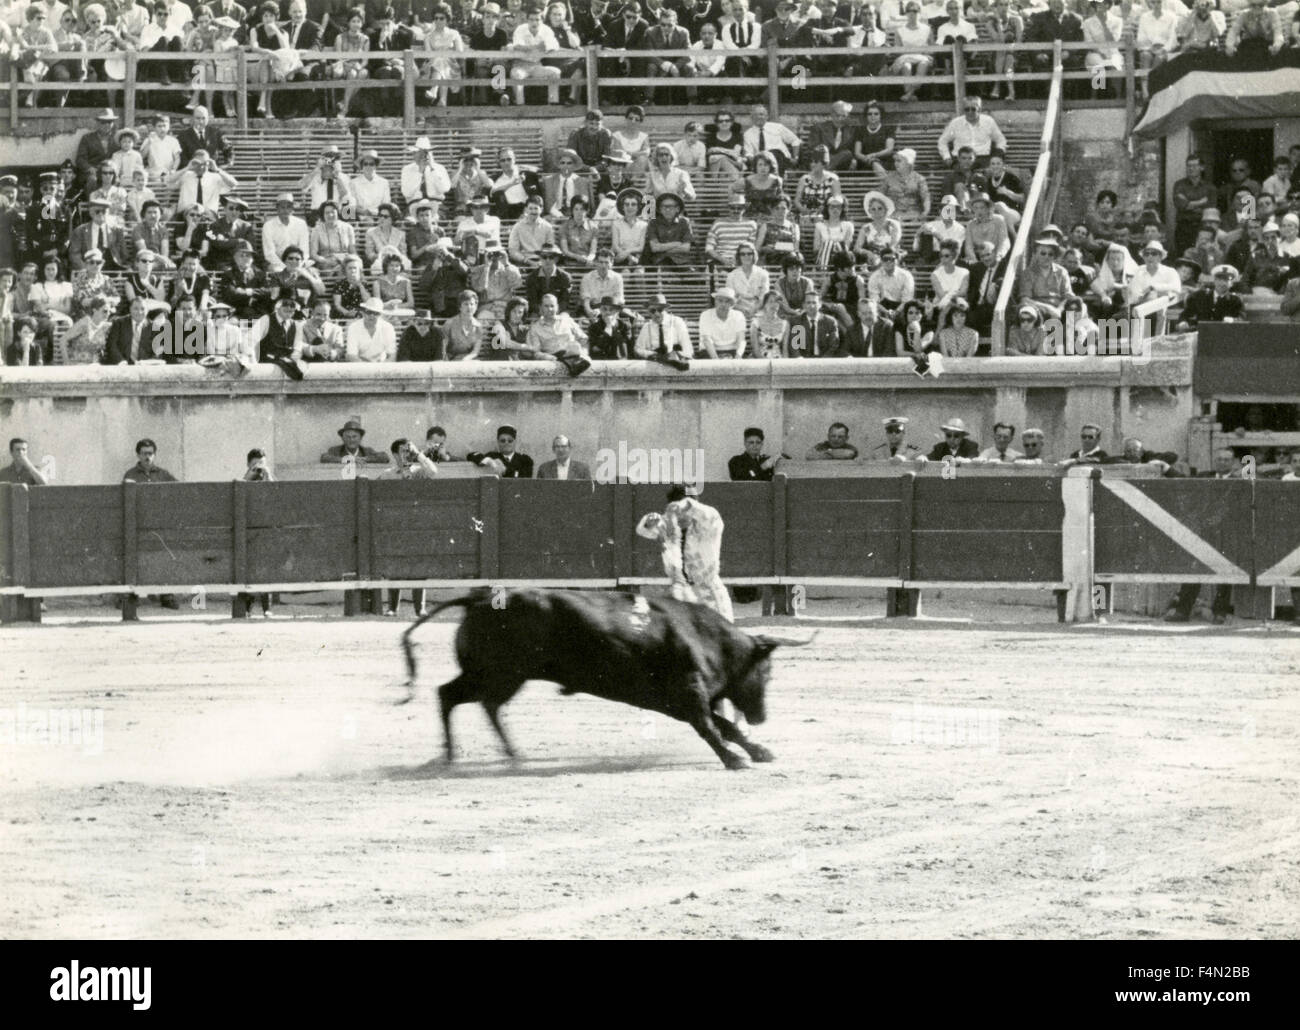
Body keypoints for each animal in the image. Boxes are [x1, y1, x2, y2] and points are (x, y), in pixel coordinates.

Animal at [401, 588, 804, 769]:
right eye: (767, 673)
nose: (761, 717)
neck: (706, 639)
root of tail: (479, 598)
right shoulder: (689, 696)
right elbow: (711, 727)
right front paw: (735, 760)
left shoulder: (681, 702)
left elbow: (726, 726)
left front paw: (760, 751)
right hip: (500, 674)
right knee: (468, 700)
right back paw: (466, 754)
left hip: (493, 675)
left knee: (458, 697)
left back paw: (476, 754)